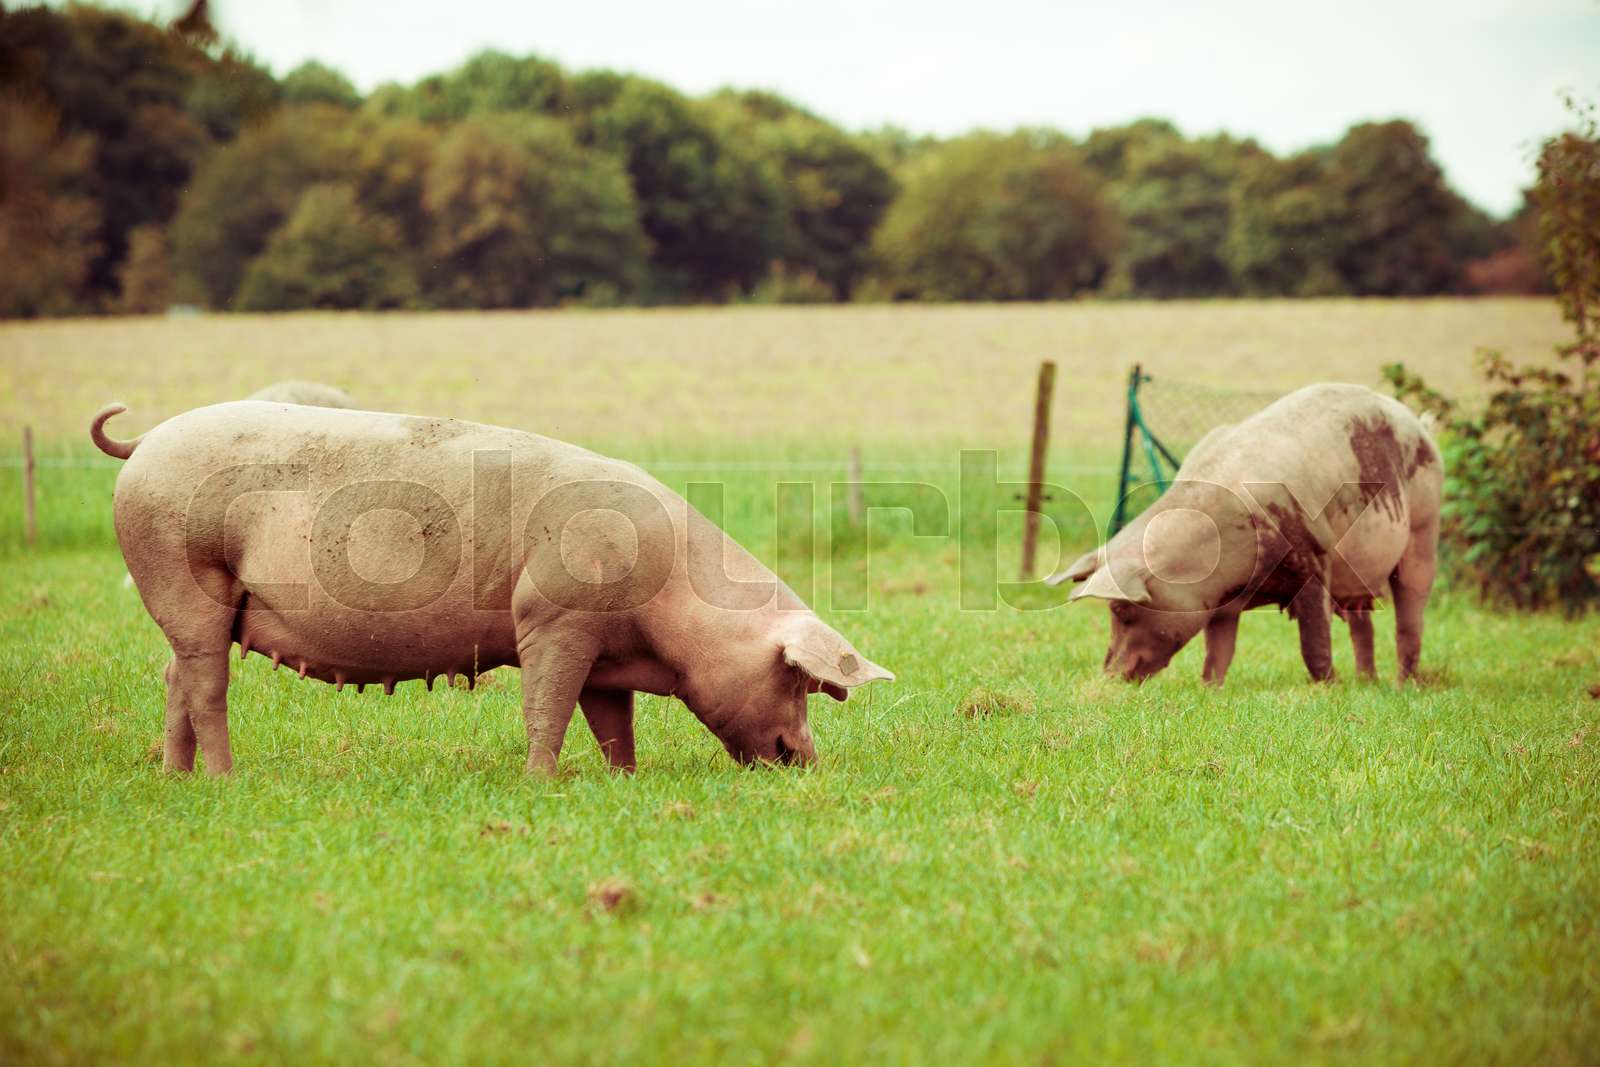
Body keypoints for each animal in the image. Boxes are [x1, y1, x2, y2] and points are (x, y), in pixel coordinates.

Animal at [90, 401, 892, 776]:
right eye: (795, 678)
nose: (808, 759)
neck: (669, 609)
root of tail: (145, 442)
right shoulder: (553, 617)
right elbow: (548, 706)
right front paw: (541, 783)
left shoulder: (606, 656)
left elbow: (612, 721)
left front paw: (625, 780)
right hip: (182, 572)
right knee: (206, 684)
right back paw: (227, 779)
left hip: (189, 603)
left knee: (176, 677)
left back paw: (177, 777)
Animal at [1048, 383, 1441, 685]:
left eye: (1120, 609)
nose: (1109, 676)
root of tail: (1419, 424)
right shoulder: (1220, 601)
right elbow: (1218, 651)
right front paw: (1211, 688)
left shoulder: (1315, 560)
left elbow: (1314, 644)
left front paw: (1329, 687)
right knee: (1364, 625)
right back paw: (1366, 682)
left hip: (1424, 527)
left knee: (1410, 615)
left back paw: (1400, 684)